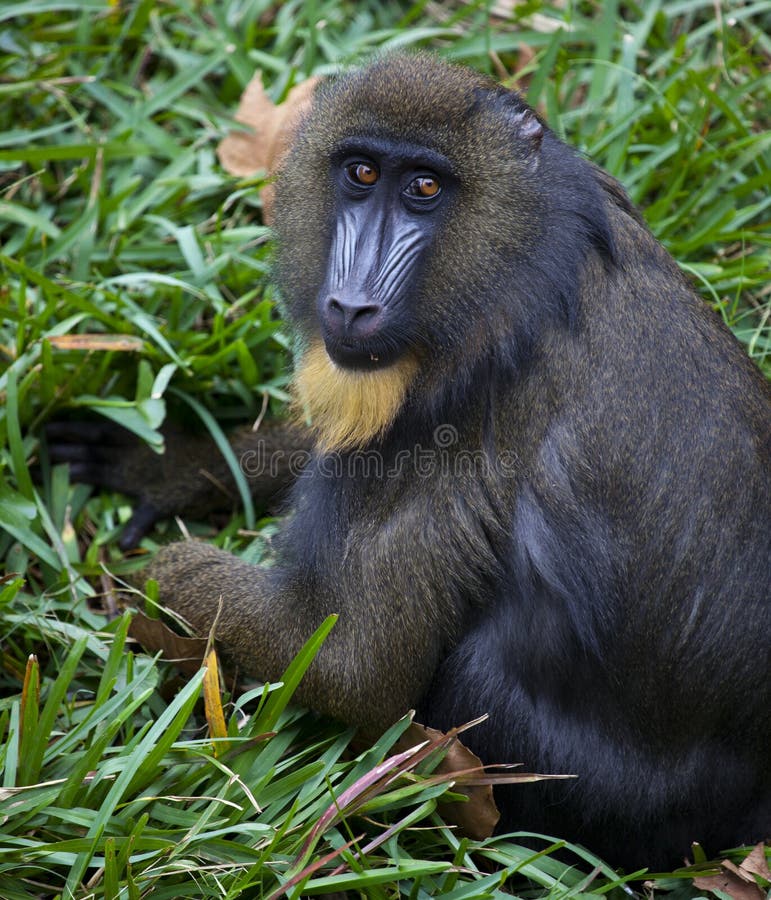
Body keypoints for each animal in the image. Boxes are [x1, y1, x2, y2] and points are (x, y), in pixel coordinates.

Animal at [48, 54, 771, 870]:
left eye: (424, 188)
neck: (521, 252)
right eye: (361, 173)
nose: (351, 306)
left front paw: (138, 585)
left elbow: (351, 666)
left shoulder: (460, 415)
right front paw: (169, 465)